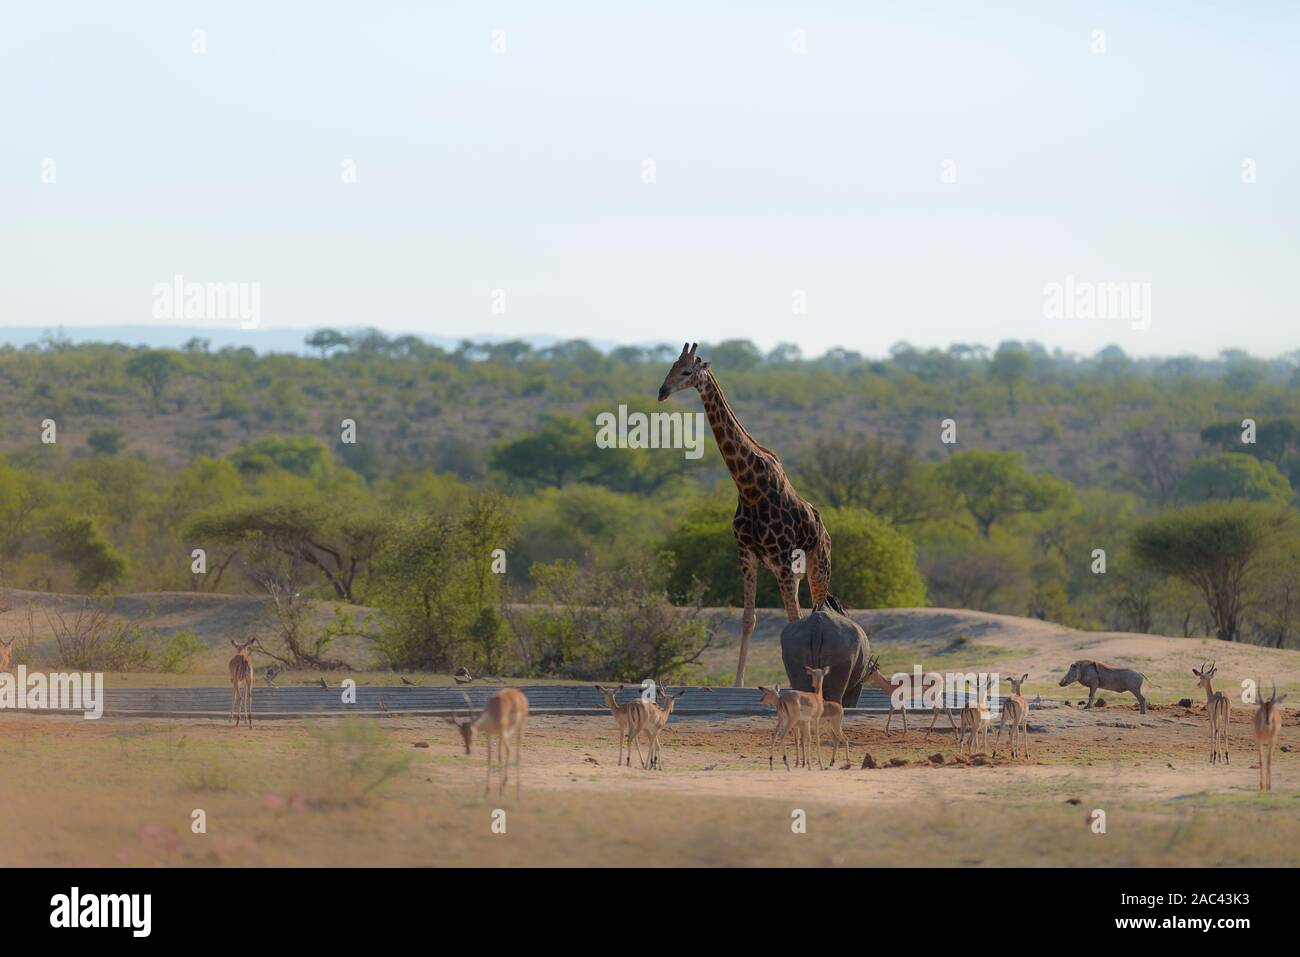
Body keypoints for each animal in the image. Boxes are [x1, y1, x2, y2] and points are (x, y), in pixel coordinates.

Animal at [658, 342, 831, 686]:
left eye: (686, 371)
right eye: (670, 367)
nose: (662, 391)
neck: (749, 486)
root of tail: (827, 536)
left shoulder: (780, 557)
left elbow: (792, 619)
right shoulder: (747, 554)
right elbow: (748, 619)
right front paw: (738, 683)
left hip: (817, 566)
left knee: (817, 612)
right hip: (798, 571)